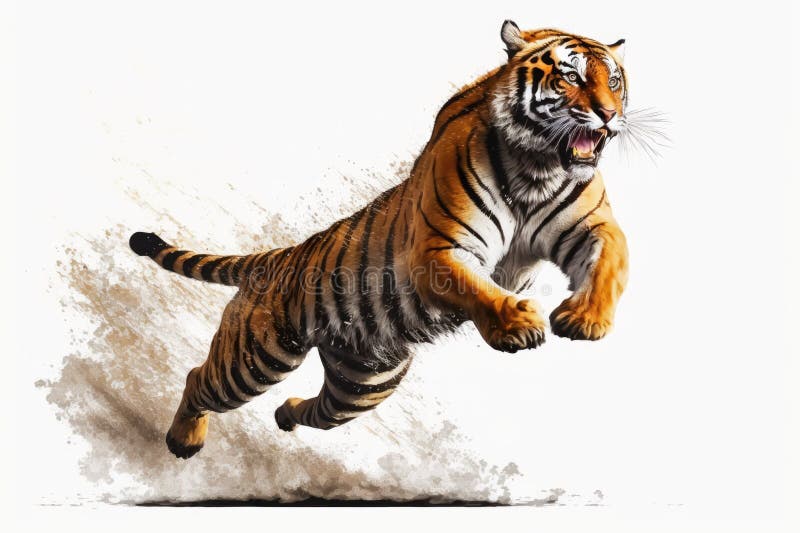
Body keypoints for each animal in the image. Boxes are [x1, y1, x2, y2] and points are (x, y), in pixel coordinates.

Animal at [129, 21, 631, 459]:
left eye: (615, 81)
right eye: (570, 76)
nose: (609, 115)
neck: (538, 169)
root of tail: (283, 254)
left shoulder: (591, 227)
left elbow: (609, 263)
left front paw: (585, 318)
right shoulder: (441, 249)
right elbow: (478, 288)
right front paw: (517, 324)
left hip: (362, 385)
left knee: (319, 411)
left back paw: (285, 415)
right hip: (257, 356)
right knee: (198, 379)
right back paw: (183, 441)